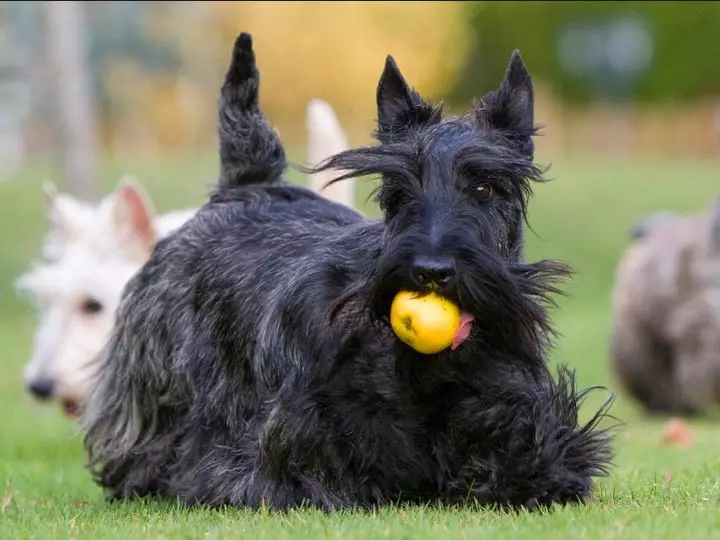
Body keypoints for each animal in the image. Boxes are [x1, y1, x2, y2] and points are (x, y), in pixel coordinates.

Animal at [83, 32, 612, 510]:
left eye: (485, 187)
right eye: (398, 190)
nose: (431, 271)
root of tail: (245, 188)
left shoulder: (514, 409)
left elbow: (539, 457)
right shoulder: (290, 442)